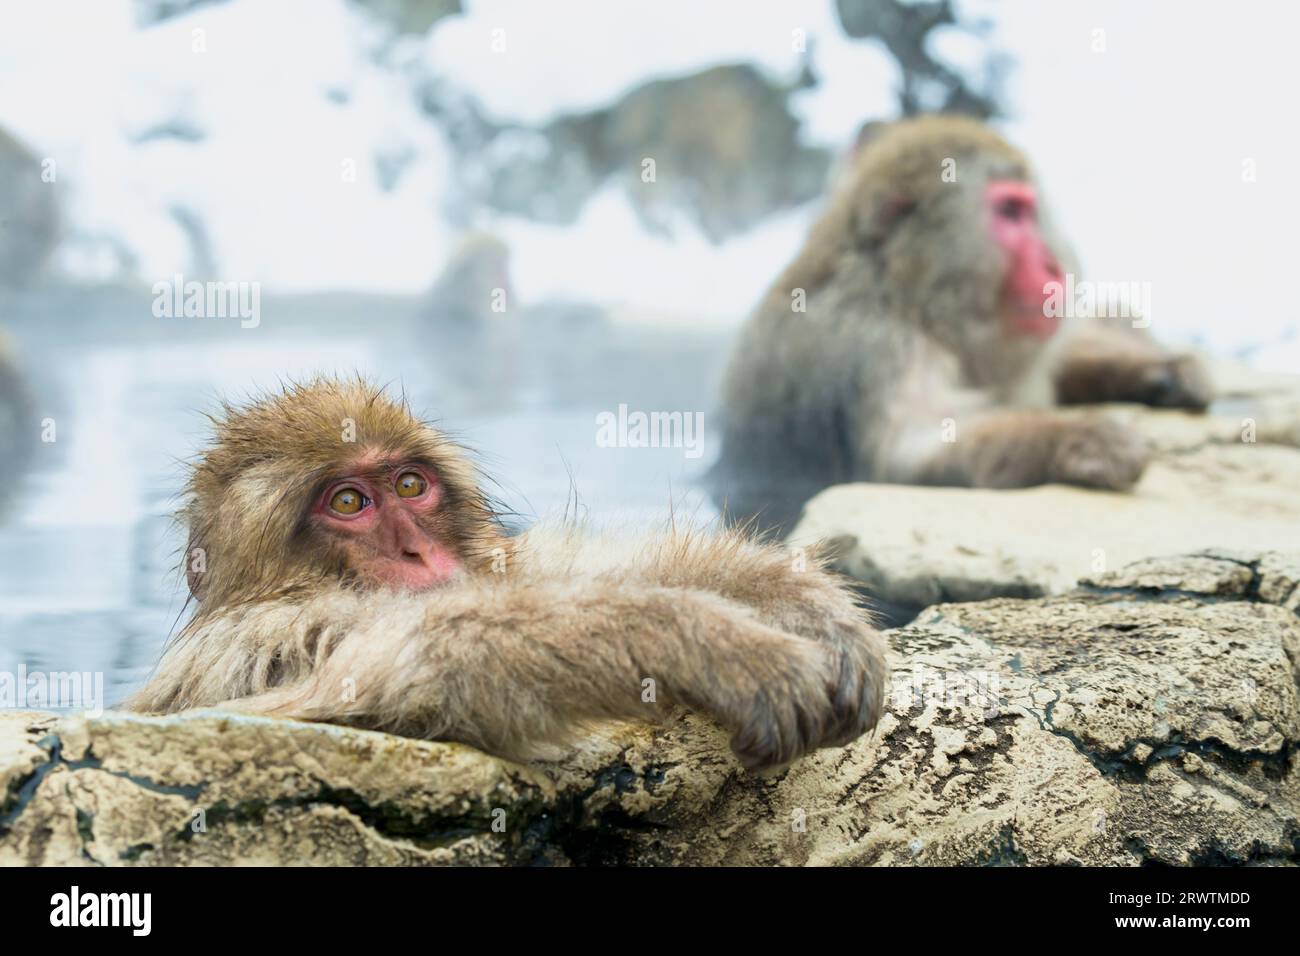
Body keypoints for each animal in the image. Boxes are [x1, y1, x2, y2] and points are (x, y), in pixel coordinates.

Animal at [125, 377, 887, 772]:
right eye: (347, 503)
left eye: (409, 485)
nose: (418, 553)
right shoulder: (261, 639)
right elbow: (397, 662)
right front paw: (713, 643)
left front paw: (799, 603)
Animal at [711, 115, 1212, 534]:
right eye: (1009, 212)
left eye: (1029, 210)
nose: (1053, 264)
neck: (908, 297)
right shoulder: (874, 349)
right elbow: (910, 452)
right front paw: (1083, 438)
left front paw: (1161, 371)